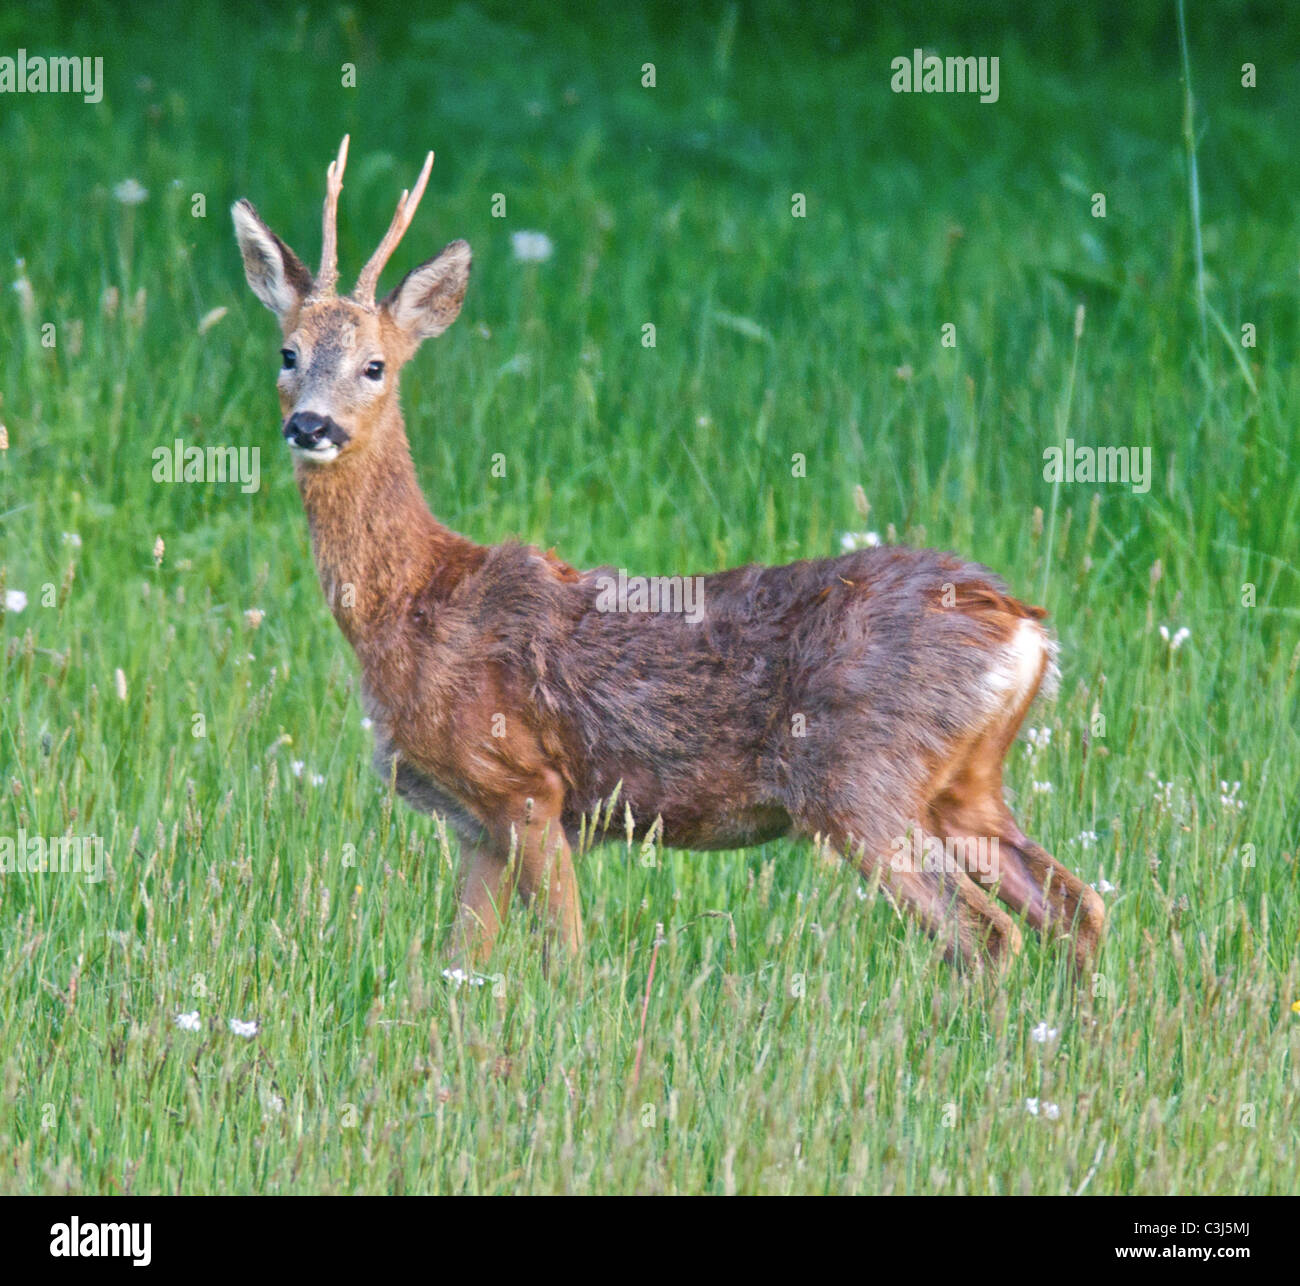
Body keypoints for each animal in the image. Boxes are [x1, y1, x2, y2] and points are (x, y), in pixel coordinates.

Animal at [231, 137, 1105, 976]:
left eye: (374, 366)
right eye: (287, 353)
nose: (310, 426)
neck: (414, 600)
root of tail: (1025, 630)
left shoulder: (526, 786)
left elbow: (566, 956)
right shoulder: (473, 818)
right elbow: (455, 963)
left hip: (861, 783)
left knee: (986, 933)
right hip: (964, 789)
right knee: (1078, 908)